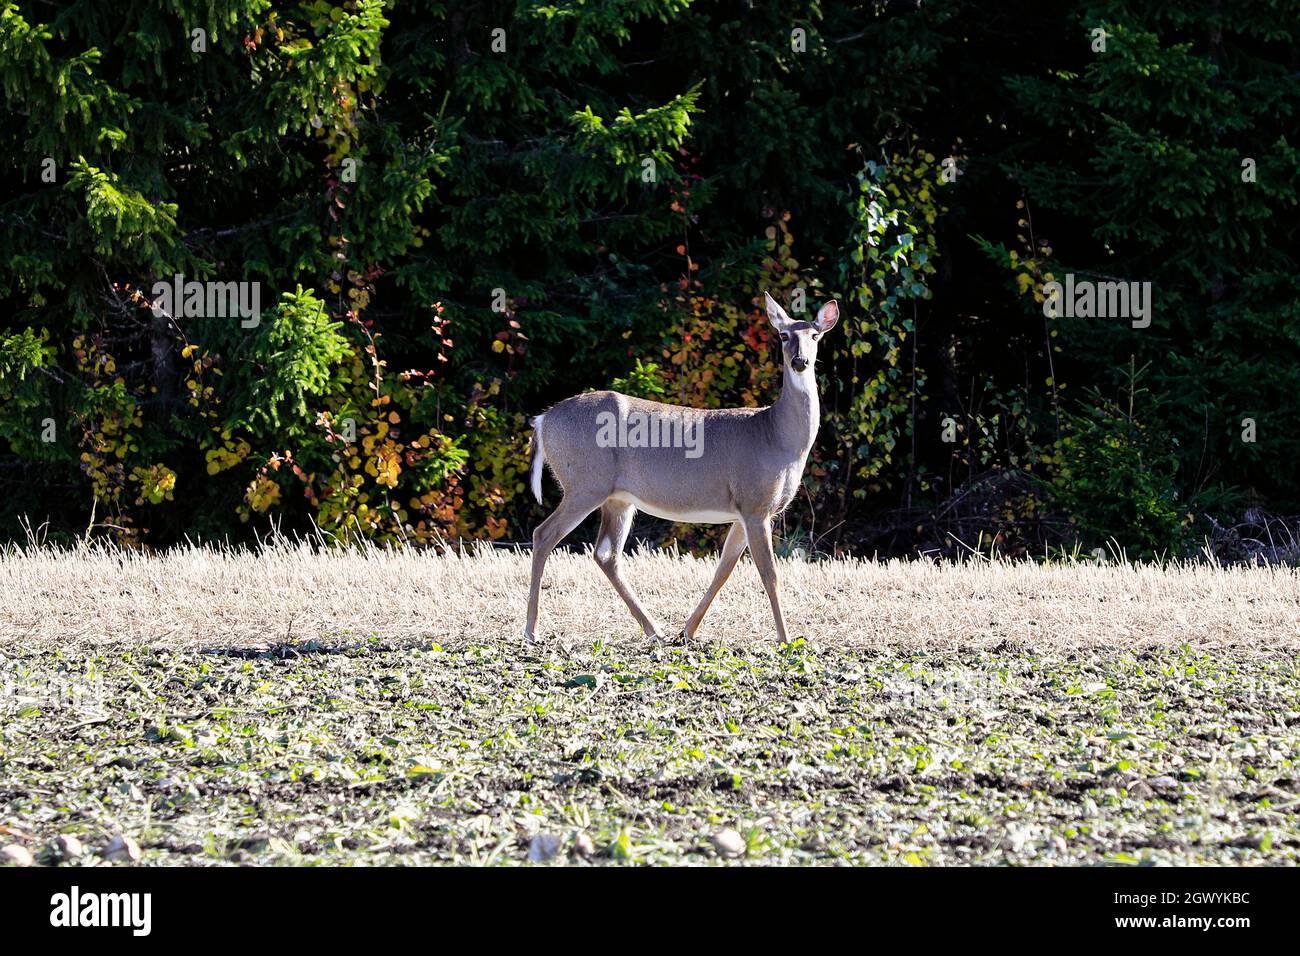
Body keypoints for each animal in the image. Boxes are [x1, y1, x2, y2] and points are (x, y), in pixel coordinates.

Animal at [524, 292, 839, 643]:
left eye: (815, 335)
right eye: (783, 335)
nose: (800, 361)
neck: (776, 436)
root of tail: (542, 420)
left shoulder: (745, 511)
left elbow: (723, 569)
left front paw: (688, 631)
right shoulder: (756, 502)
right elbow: (769, 574)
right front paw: (787, 639)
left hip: (617, 498)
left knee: (605, 553)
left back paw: (654, 630)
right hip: (584, 483)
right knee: (543, 534)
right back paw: (531, 630)